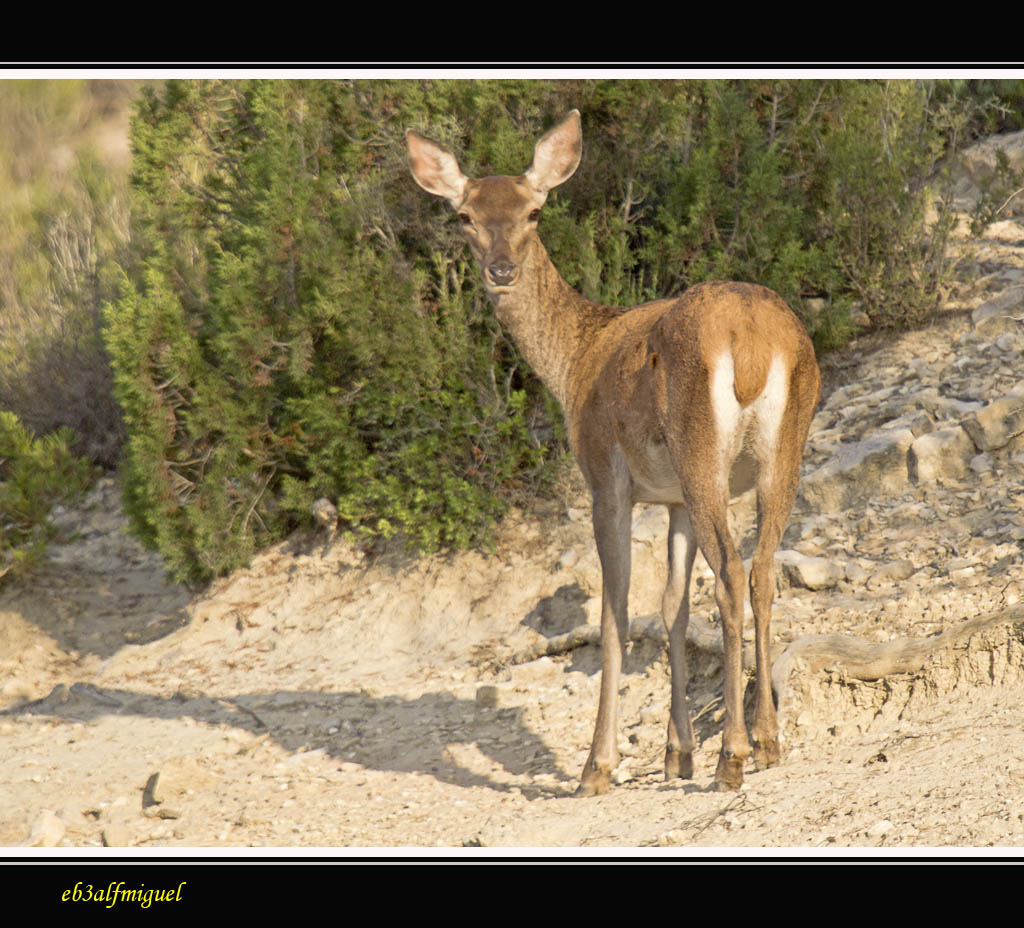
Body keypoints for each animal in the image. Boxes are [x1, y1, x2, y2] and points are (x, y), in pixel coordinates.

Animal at [407, 110, 821, 797]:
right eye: (464, 215)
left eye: (534, 210)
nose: (500, 270)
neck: (575, 360)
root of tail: (753, 341)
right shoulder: (672, 499)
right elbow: (671, 607)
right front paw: (675, 754)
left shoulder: (605, 478)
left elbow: (616, 613)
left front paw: (596, 767)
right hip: (781, 449)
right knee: (762, 571)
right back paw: (766, 741)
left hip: (700, 449)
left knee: (731, 575)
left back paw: (731, 755)